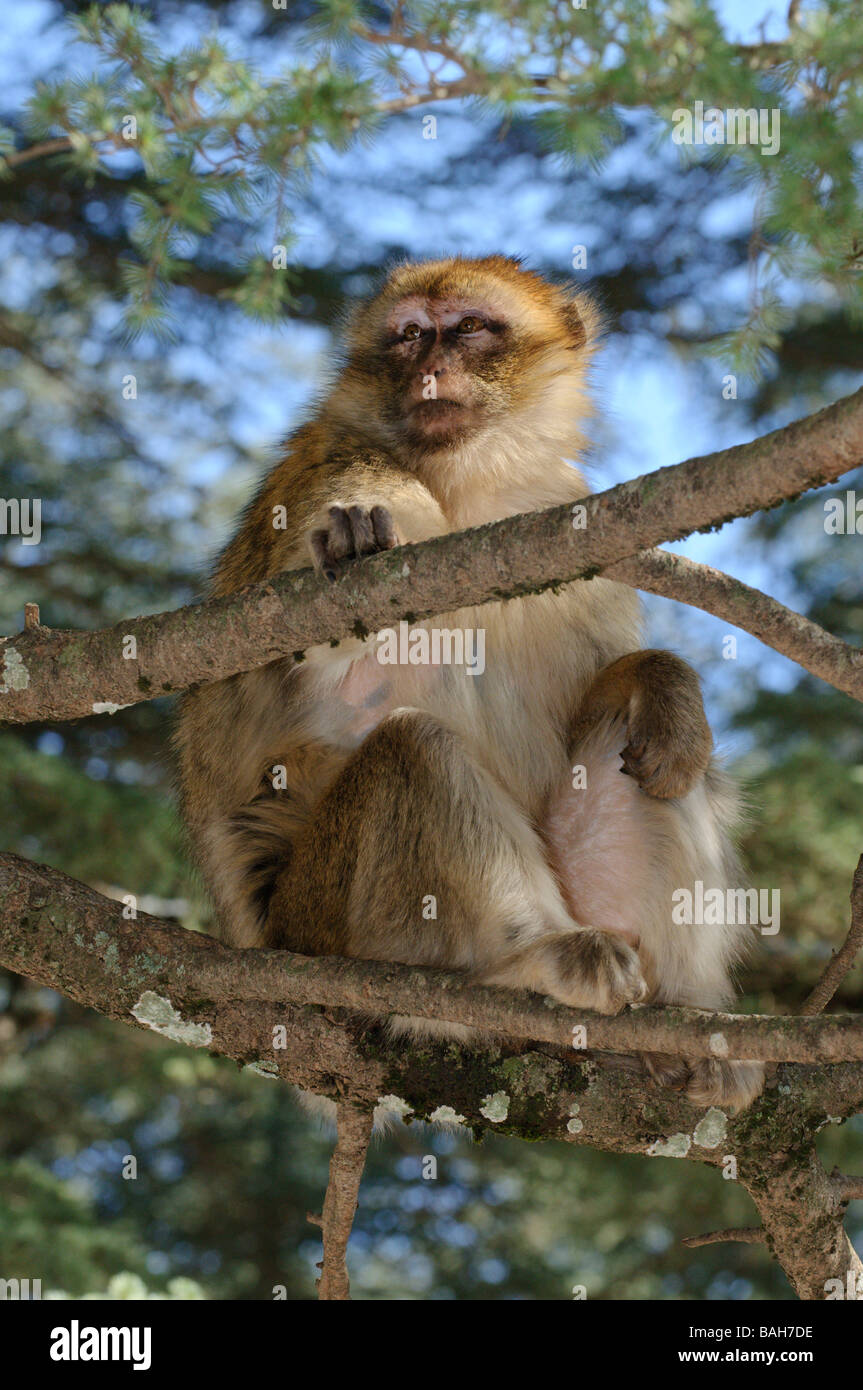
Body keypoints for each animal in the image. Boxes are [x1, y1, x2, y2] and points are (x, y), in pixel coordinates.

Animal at [175, 254, 763, 1113]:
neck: (468, 488)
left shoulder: (568, 523)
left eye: (470, 328)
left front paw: (665, 687)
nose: (429, 368)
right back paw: (532, 960)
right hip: (331, 930)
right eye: (408, 335)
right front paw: (351, 549)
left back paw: (683, 1030)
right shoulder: (340, 470)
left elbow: (601, 689)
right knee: (413, 749)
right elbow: (334, 681)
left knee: (629, 749)